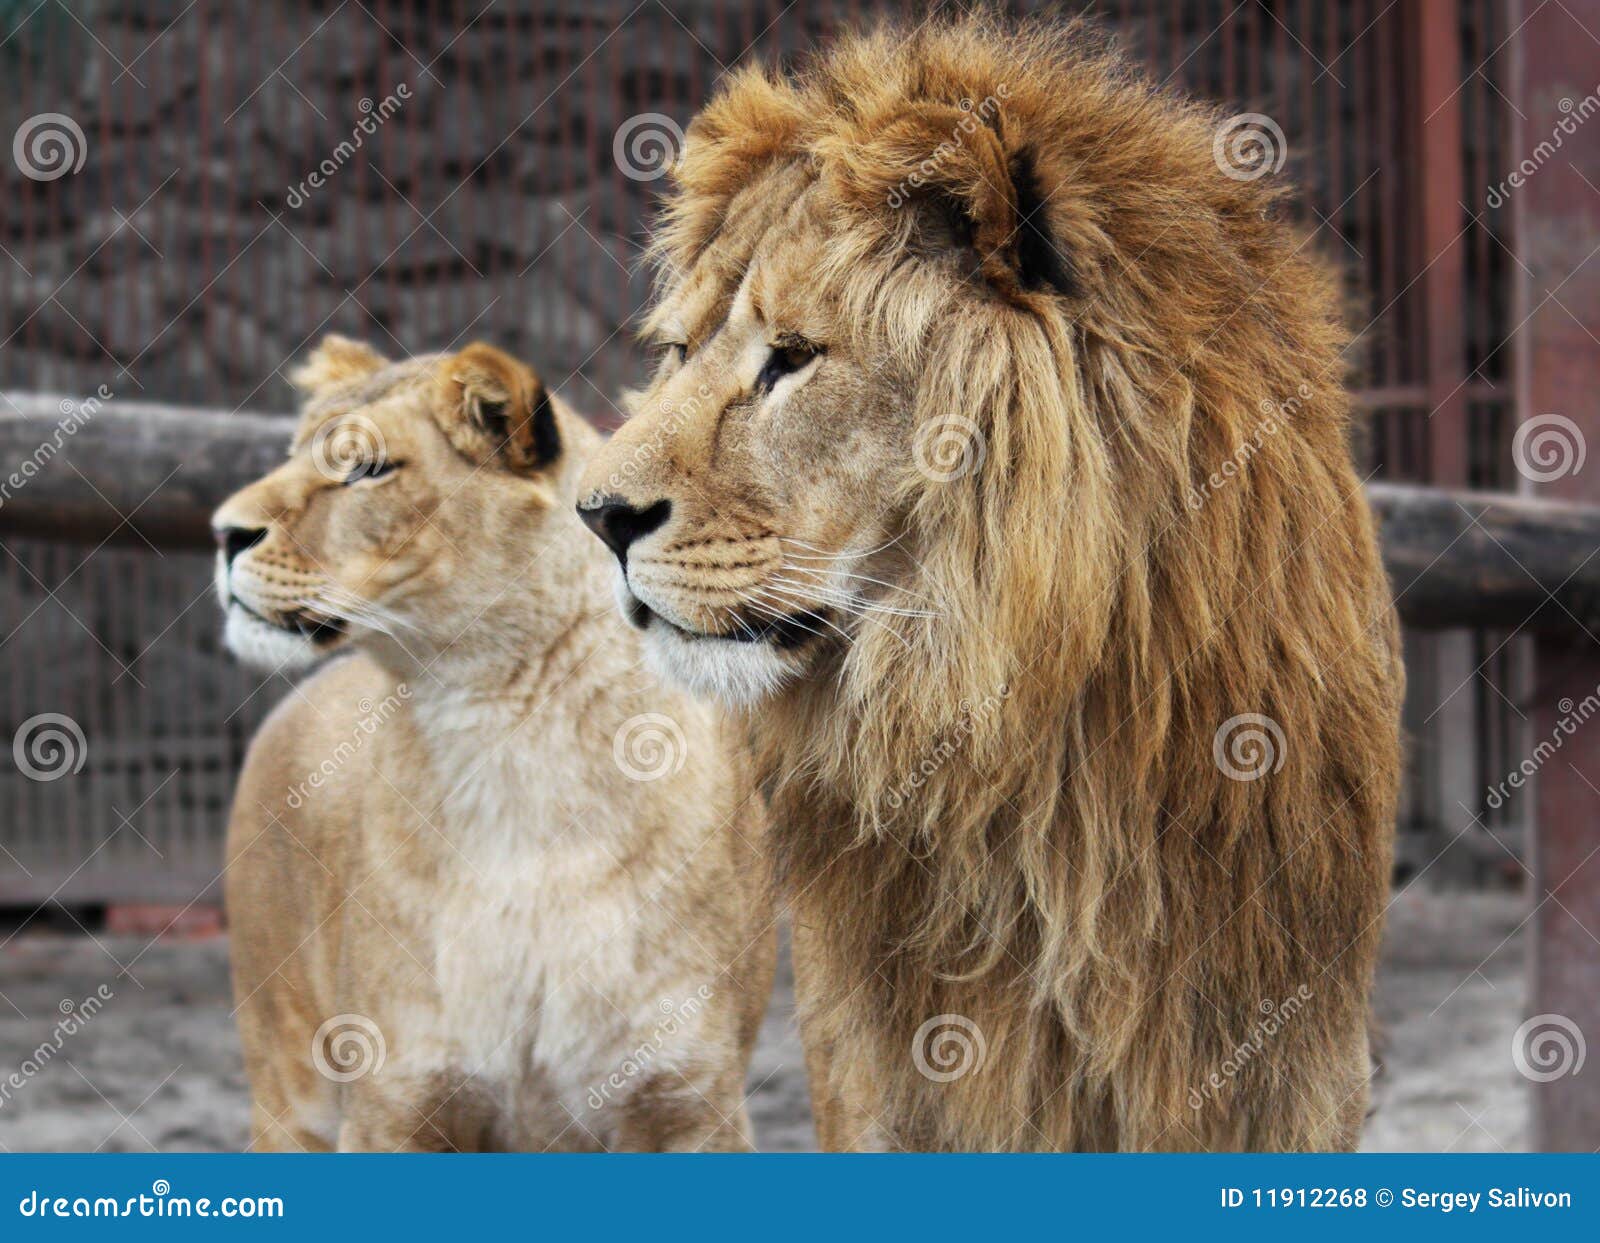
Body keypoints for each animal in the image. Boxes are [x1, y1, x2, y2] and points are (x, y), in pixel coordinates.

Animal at [213, 336, 774, 1151]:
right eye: (292, 454)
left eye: (367, 469)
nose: (223, 532)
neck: (502, 733)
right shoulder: (396, 1101)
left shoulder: (688, 1102)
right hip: (287, 1083)